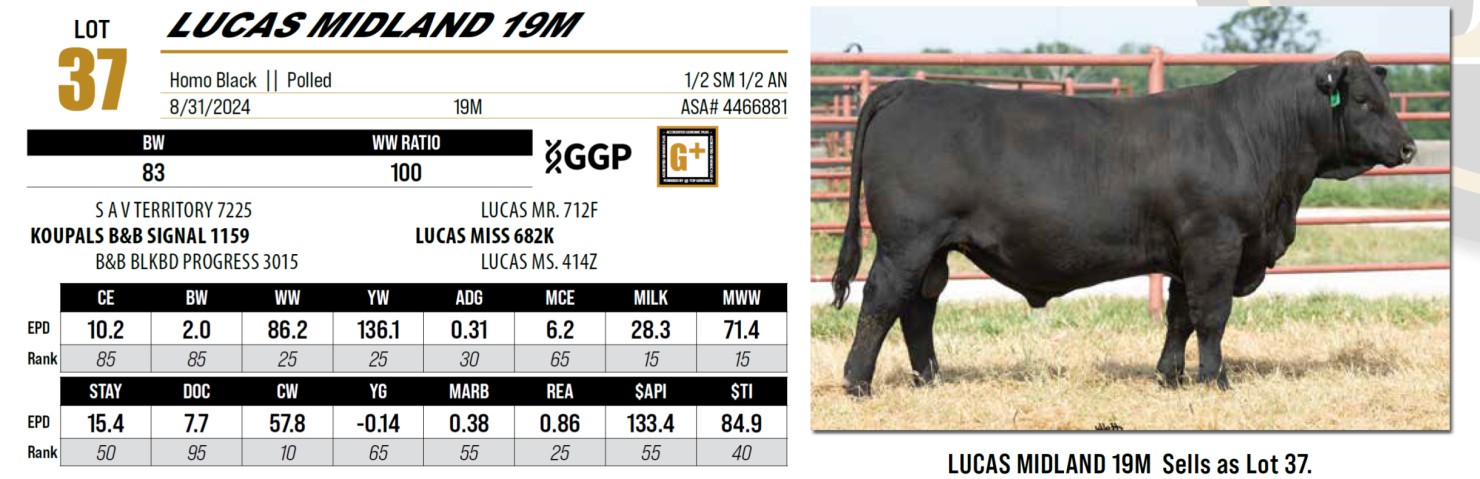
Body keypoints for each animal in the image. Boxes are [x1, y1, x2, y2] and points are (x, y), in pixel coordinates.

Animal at [830, 51, 1417, 397]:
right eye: (1362, 99)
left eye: (1387, 97)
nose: (1409, 147)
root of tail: (907, 87)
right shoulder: (1215, 242)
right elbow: (1212, 315)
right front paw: (1216, 380)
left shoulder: (1185, 251)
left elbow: (1179, 316)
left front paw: (1170, 377)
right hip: (907, 240)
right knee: (882, 300)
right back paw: (858, 383)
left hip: (934, 247)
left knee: (918, 306)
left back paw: (929, 378)